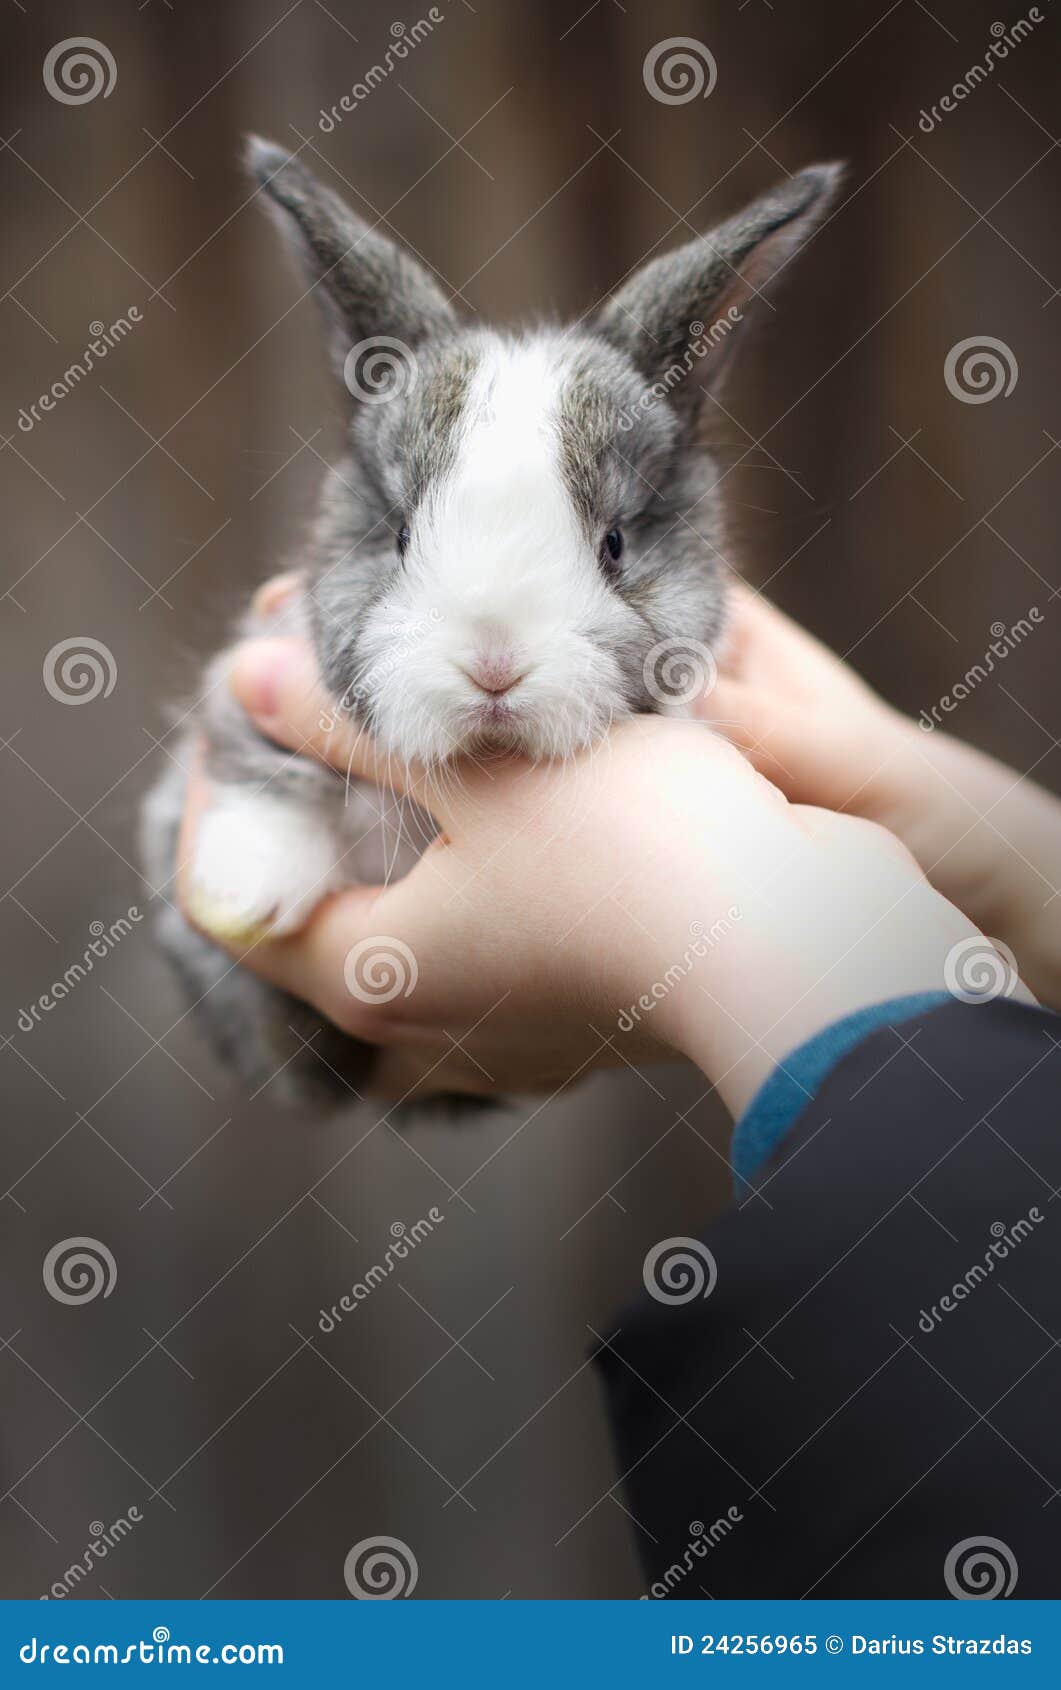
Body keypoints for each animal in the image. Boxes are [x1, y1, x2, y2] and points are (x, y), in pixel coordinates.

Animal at [140, 138, 841, 1108]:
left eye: (614, 543)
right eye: (400, 535)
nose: (493, 665)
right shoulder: (251, 673)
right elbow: (255, 755)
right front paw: (242, 892)